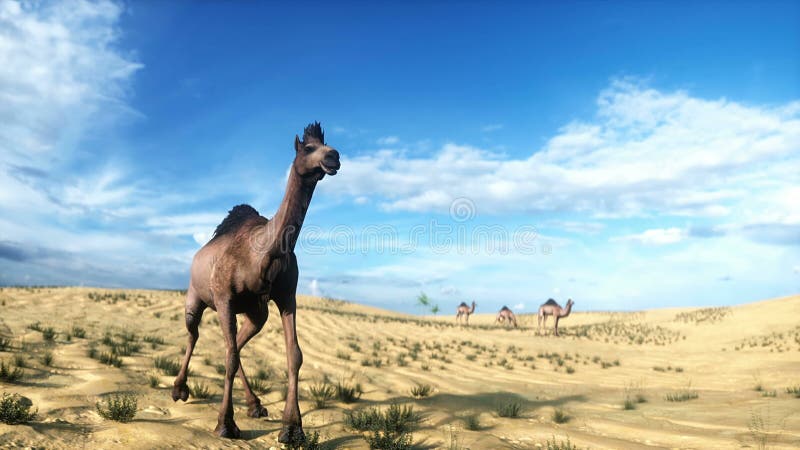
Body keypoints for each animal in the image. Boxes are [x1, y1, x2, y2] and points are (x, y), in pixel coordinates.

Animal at [171, 123, 340, 443]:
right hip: (196, 297)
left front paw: (292, 429)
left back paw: (255, 404)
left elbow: (294, 356)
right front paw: (225, 425)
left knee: (236, 344)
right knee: (195, 335)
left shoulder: (287, 297)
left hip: (256, 313)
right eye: (308, 148)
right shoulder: (224, 298)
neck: (264, 251)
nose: (333, 157)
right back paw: (179, 388)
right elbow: (229, 358)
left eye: (328, 145)